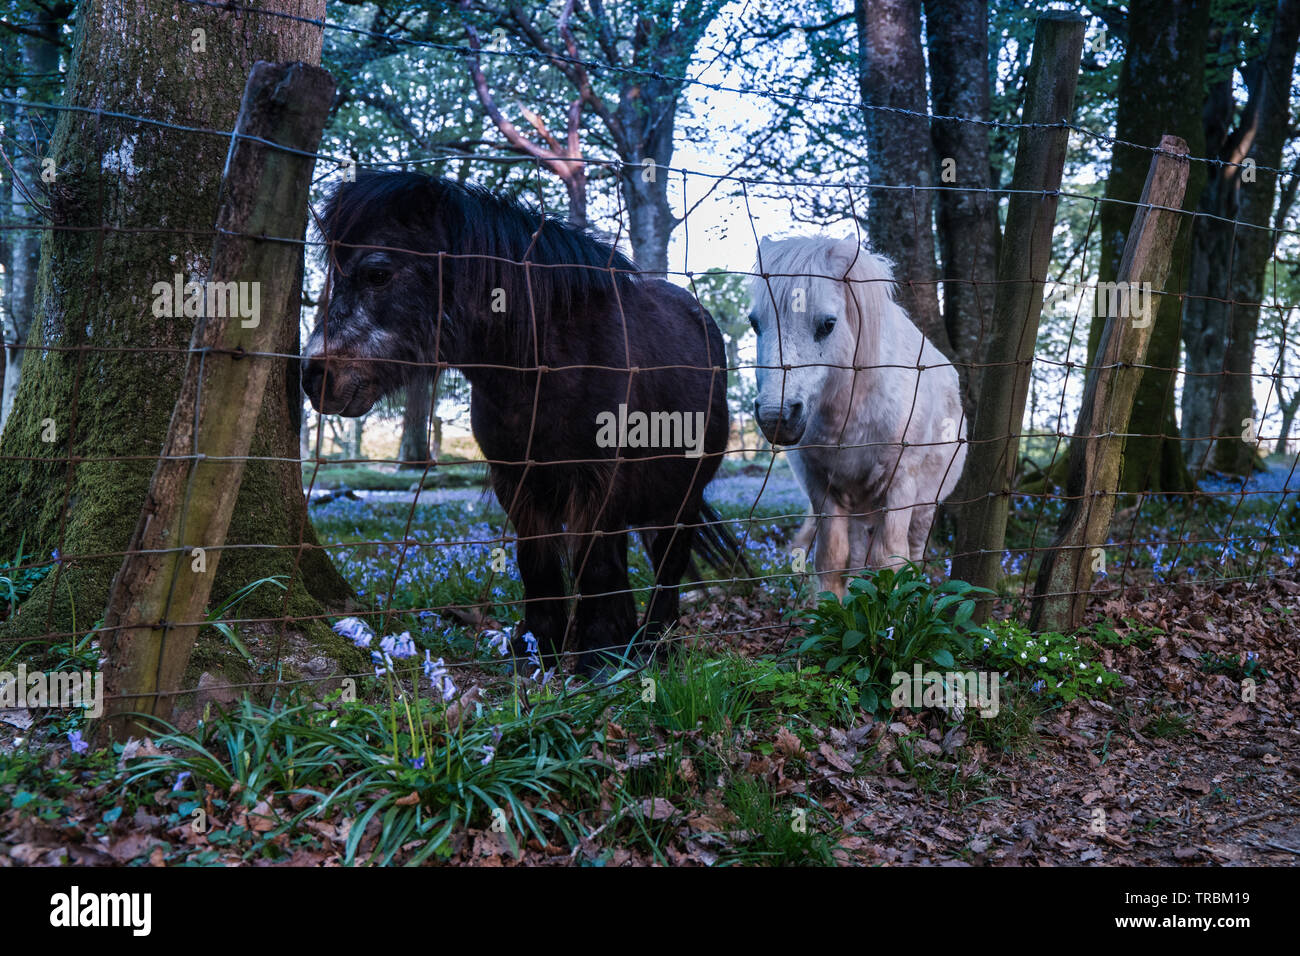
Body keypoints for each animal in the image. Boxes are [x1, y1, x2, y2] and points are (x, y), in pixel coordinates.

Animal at [301, 171, 740, 674]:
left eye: (378, 273)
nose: (313, 376)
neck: (547, 362)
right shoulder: (517, 480)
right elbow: (539, 561)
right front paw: (539, 649)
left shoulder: (601, 479)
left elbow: (595, 566)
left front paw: (597, 659)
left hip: (682, 496)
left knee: (669, 562)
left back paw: (654, 641)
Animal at [748, 236, 967, 597]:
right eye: (755, 323)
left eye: (828, 324)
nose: (775, 417)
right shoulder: (823, 488)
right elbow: (832, 560)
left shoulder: (900, 487)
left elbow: (890, 563)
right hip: (858, 510)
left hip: (922, 508)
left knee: (914, 553)